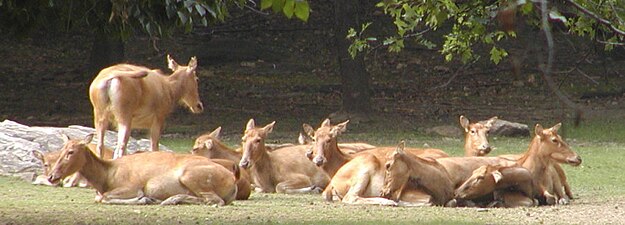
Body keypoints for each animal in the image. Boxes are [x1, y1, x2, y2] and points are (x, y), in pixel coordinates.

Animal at [47, 134, 238, 206]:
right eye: (61, 149)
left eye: (71, 152)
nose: (51, 176)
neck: (106, 177)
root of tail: (233, 182)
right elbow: (99, 197)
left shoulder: (131, 185)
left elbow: (104, 197)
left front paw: (144, 198)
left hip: (192, 176)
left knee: (215, 200)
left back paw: (170, 200)